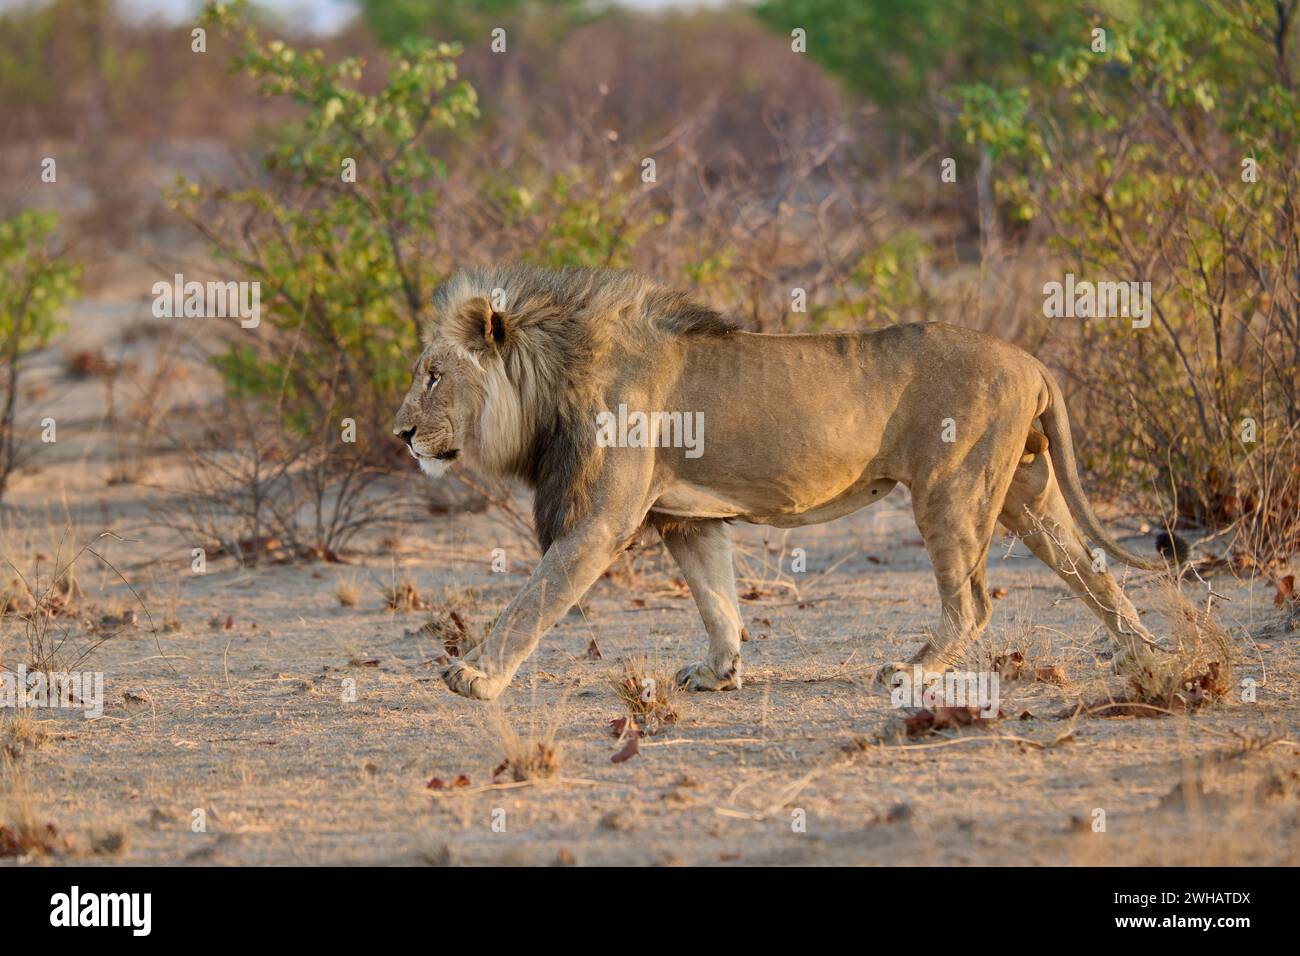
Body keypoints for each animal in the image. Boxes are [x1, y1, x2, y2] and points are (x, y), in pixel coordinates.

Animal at [393, 264, 1178, 701]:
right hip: (1025, 492)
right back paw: (1147, 655)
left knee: (974, 605)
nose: (399, 433)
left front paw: (476, 676)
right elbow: (716, 601)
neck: (553, 378)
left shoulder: (600, 520)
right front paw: (719, 675)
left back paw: (911, 674)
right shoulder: (688, 518)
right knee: (1093, 570)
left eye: (432, 375)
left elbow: (534, 599)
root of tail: (1031, 359)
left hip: (952, 493)